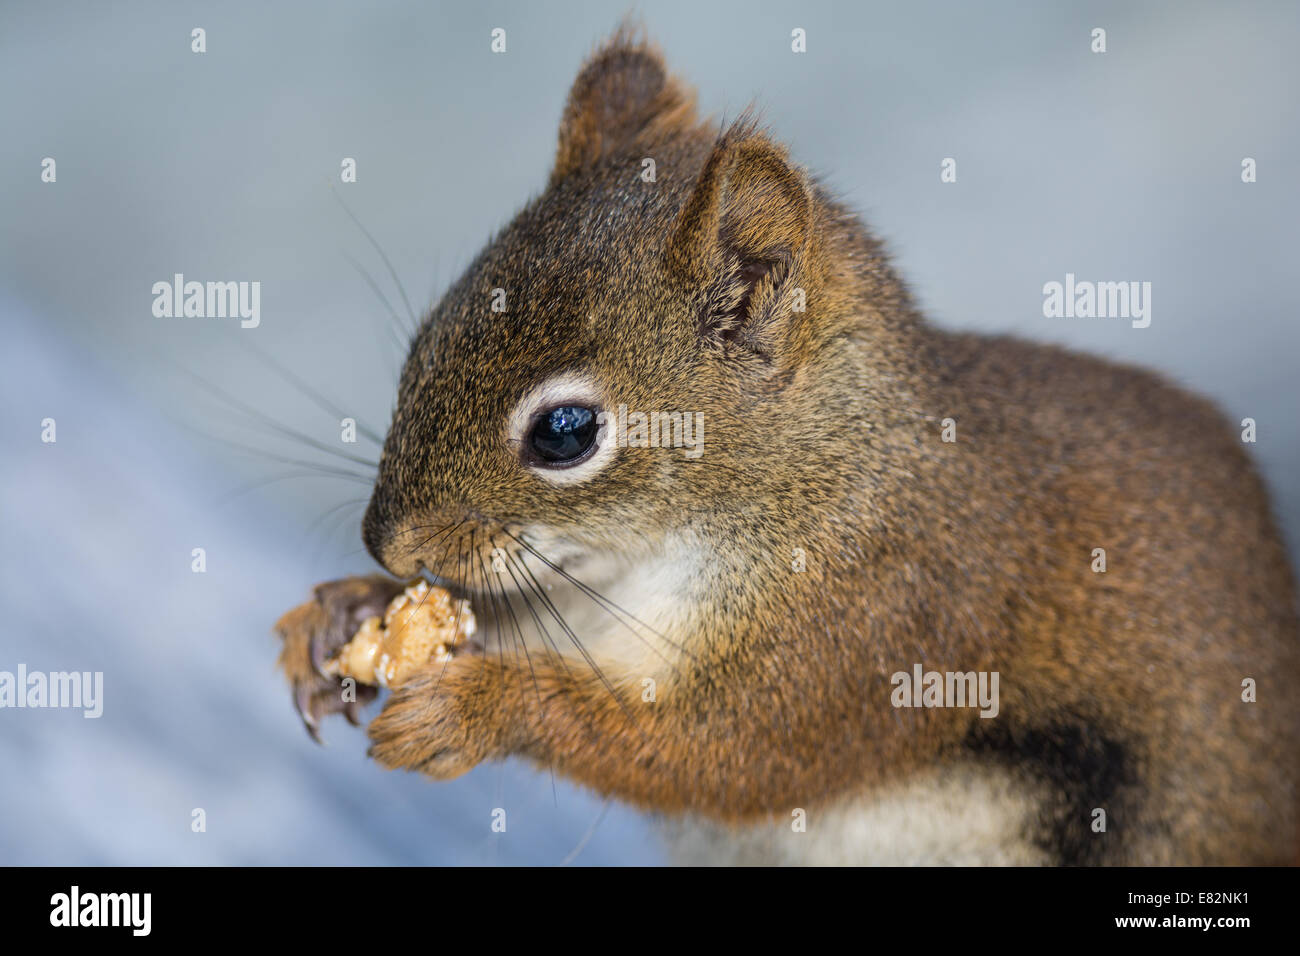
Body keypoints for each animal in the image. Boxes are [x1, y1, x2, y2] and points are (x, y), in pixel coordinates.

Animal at [275, 26, 1300, 865]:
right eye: (425, 341)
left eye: (565, 434)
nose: (386, 544)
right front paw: (347, 613)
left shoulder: (876, 629)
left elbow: (719, 756)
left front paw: (478, 708)